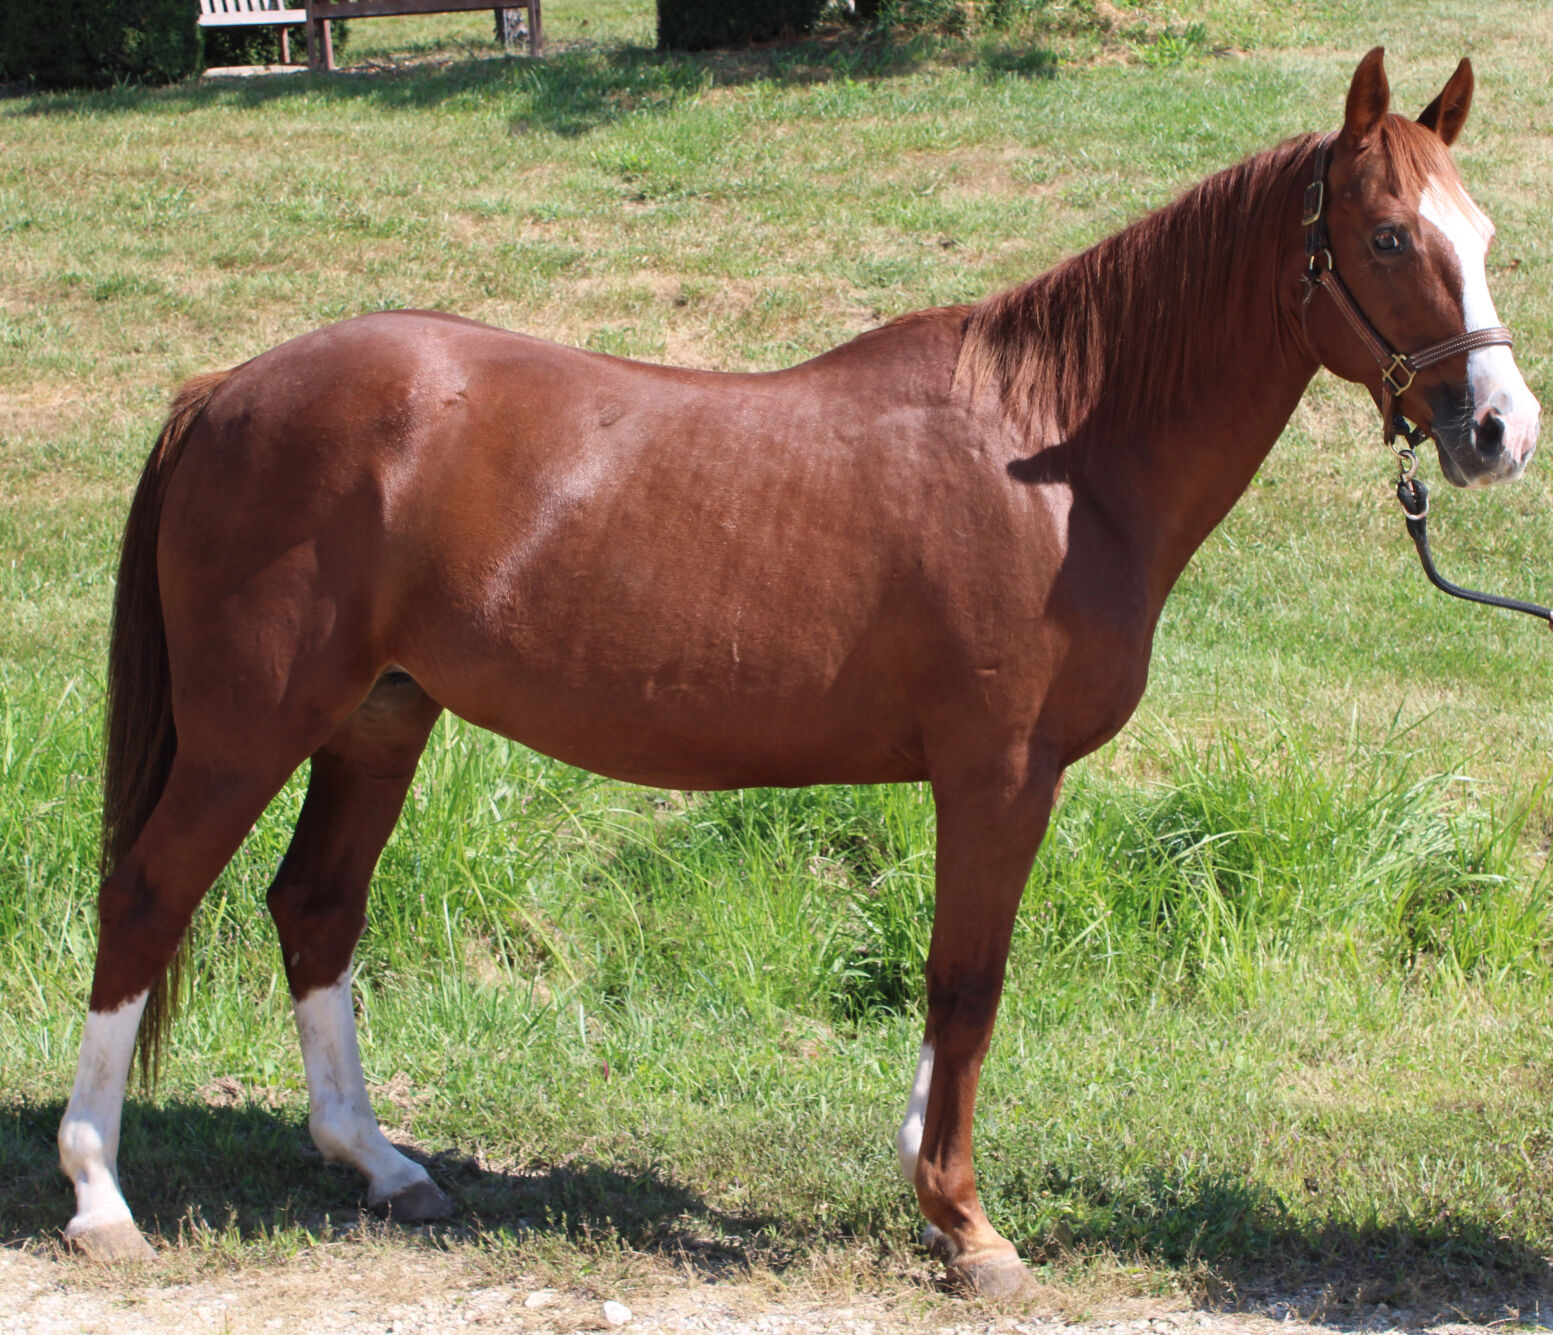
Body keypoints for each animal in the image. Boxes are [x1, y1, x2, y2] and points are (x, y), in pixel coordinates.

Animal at [57, 48, 1540, 1293]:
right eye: (1389, 236)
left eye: (1480, 239)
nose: (1497, 429)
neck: (1057, 458)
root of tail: (225, 390)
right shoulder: (998, 774)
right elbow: (966, 979)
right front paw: (966, 1225)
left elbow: (952, 989)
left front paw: (930, 1196)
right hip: (252, 727)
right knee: (145, 898)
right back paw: (100, 1197)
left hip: (377, 719)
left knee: (314, 908)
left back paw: (379, 1163)